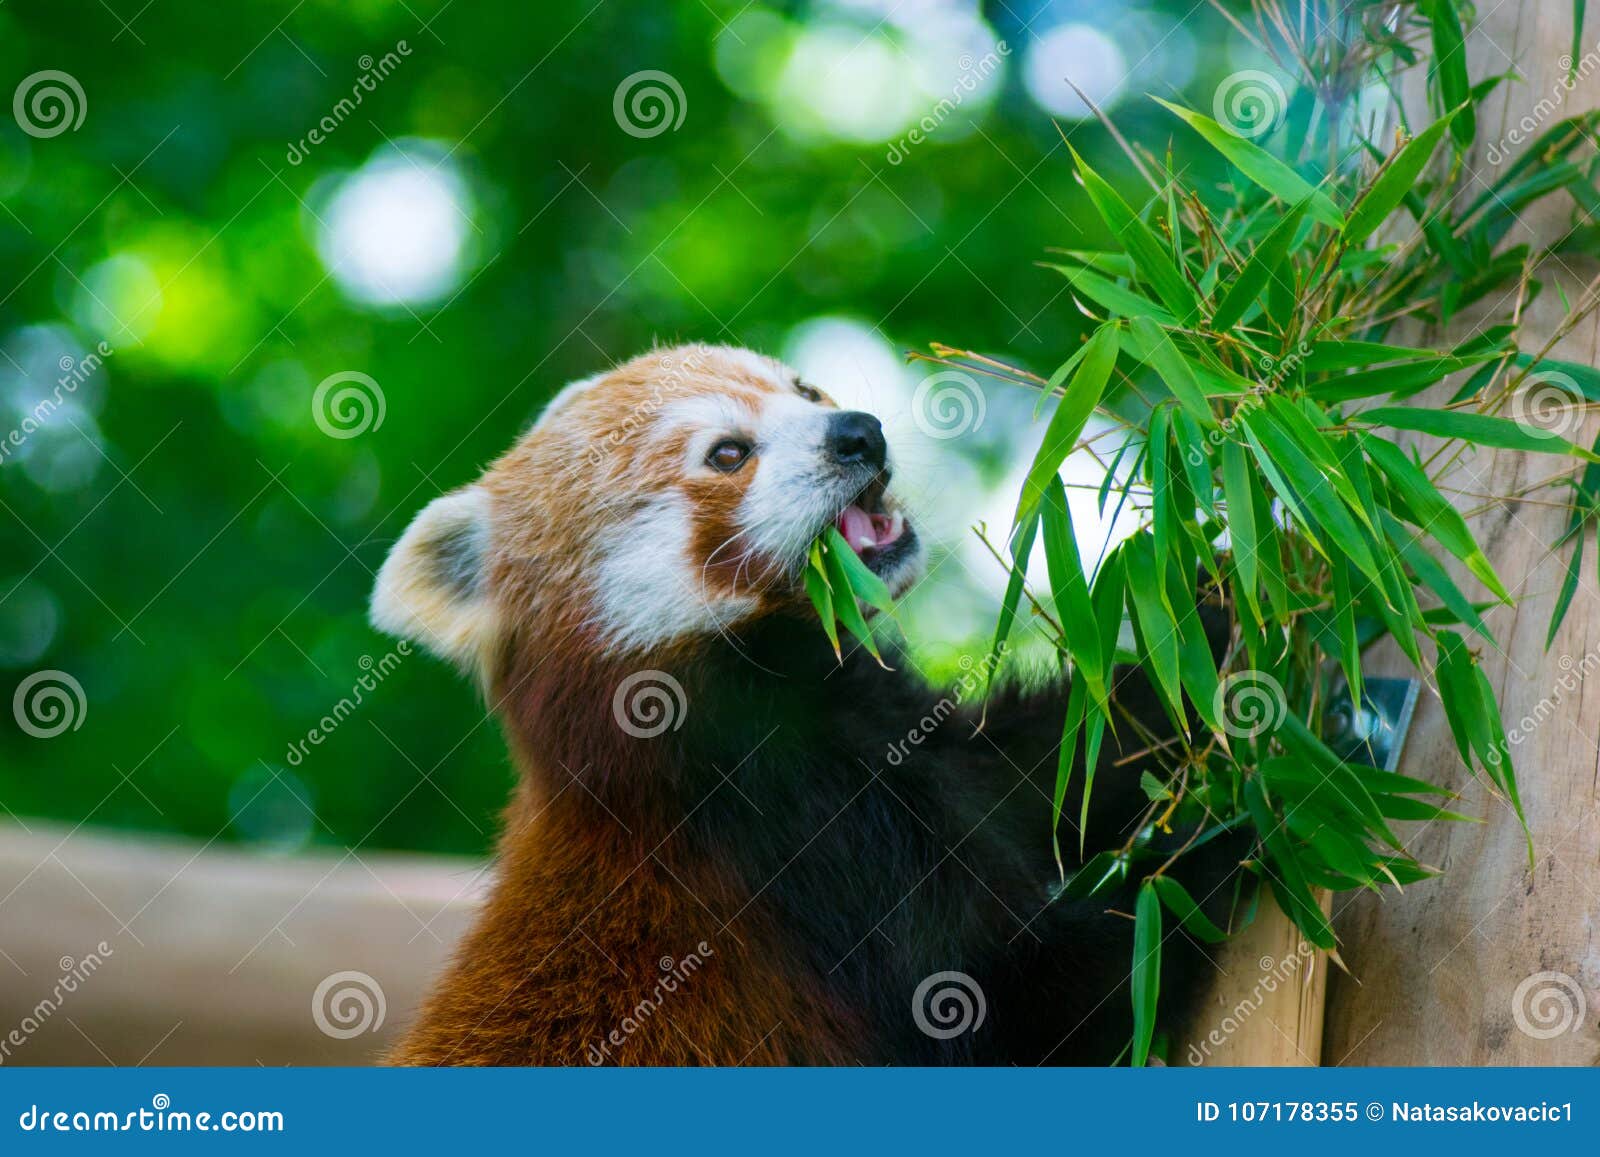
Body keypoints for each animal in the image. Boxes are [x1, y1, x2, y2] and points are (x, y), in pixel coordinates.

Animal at [370, 343, 1233, 1065]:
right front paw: (1225, 838)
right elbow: (1027, 996)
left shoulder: (899, 735)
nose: (859, 433)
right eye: (727, 453)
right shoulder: (780, 839)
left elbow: (1050, 769)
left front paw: (1227, 612)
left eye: (805, 391)